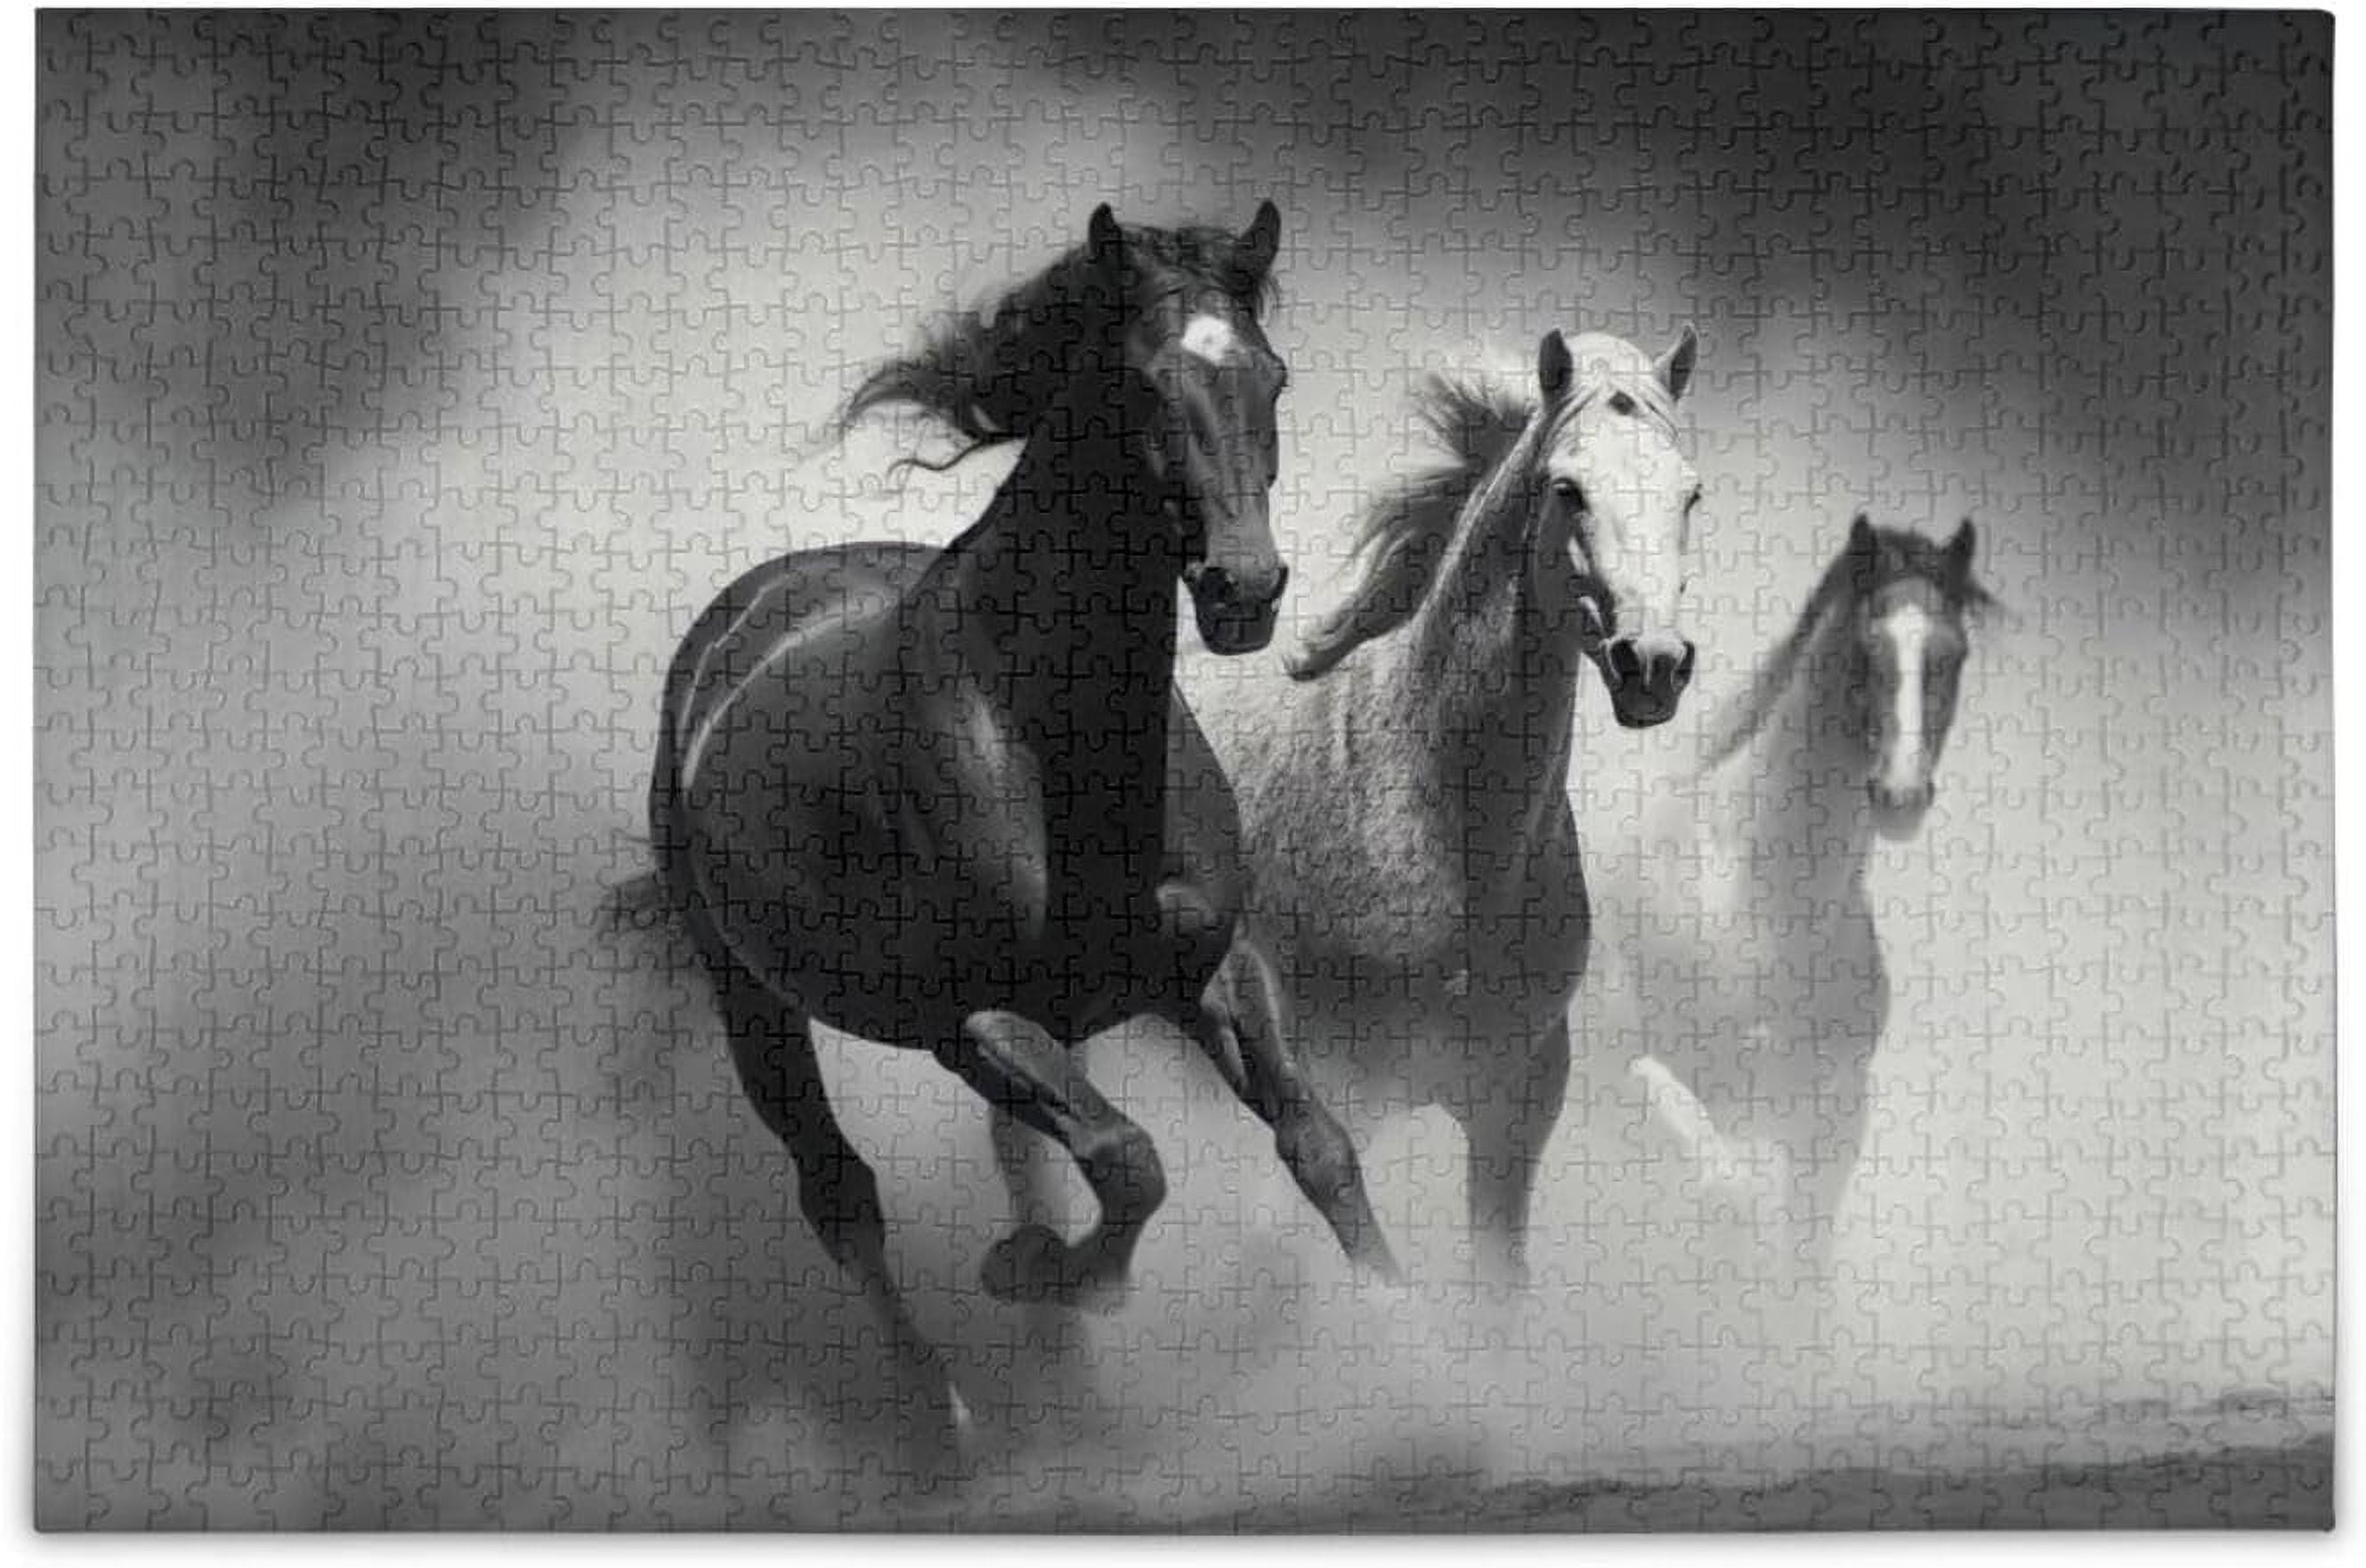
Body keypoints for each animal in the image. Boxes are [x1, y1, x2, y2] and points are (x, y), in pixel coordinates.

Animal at [644, 202, 1390, 1474]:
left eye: (1273, 377)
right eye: (1142, 383)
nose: (1244, 588)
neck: (1053, 740)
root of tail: (740, 626)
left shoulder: (1211, 970)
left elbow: (1316, 1142)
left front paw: (1439, 1349)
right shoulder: (974, 1023)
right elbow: (1132, 1162)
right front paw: (1038, 1275)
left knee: (1024, 1156)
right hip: (751, 1001)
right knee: (843, 1199)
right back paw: (949, 1426)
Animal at [1607, 514, 1995, 1286]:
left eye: (1953, 655)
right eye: (1865, 651)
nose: (1900, 795)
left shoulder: (1835, 1114)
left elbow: (1806, 1260)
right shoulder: (1669, 1084)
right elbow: (1737, 1204)